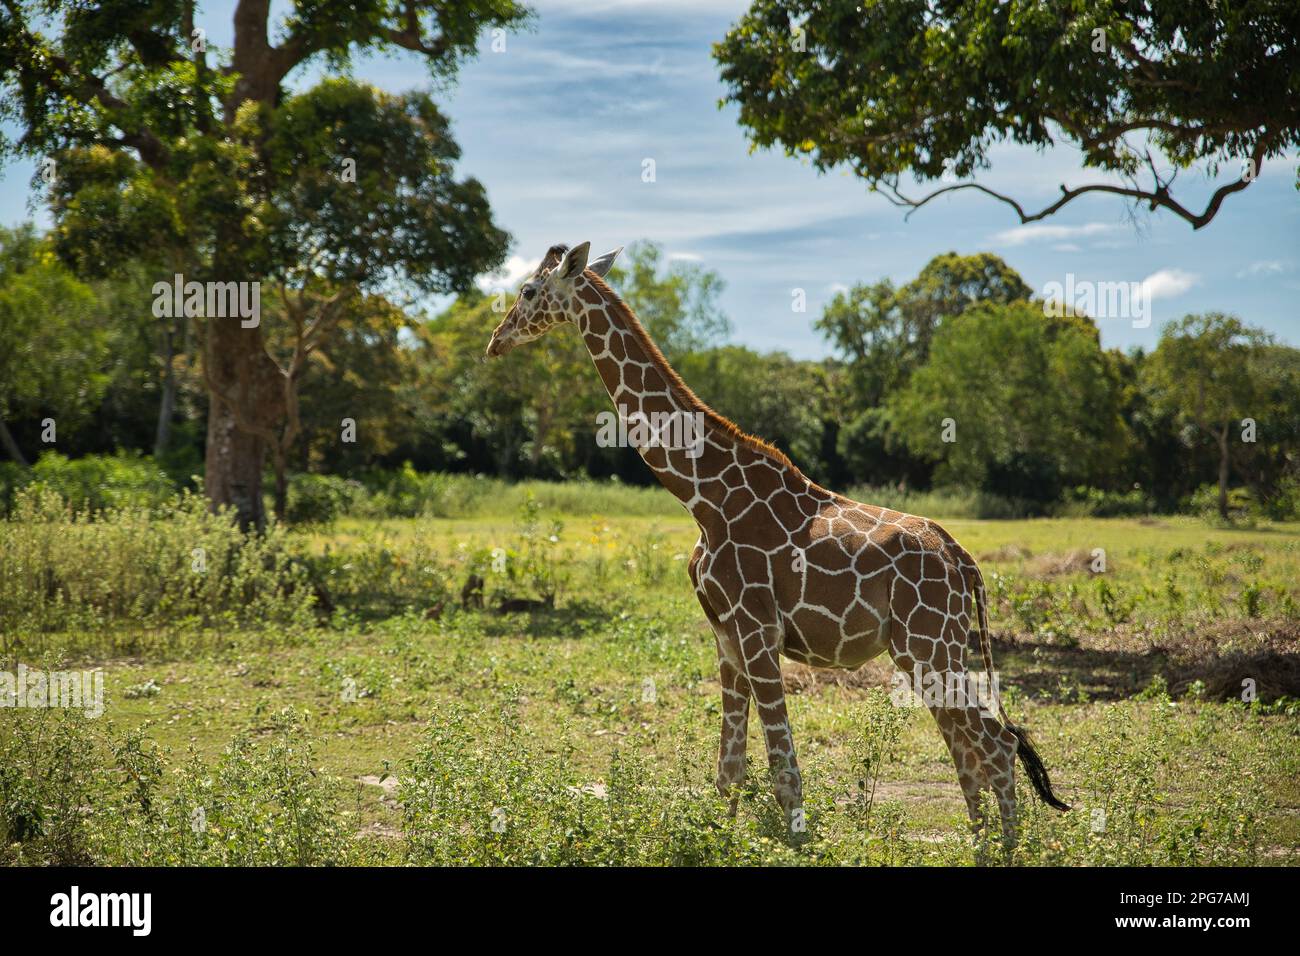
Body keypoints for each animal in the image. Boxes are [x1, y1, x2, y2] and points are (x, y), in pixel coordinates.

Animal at [485, 241, 1070, 844]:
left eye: (528, 291)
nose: (495, 341)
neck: (702, 496)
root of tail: (964, 559)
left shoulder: (757, 626)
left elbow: (783, 769)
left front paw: (797, 839)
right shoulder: (724, 633)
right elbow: (729, 772)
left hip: (930, 643)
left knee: (996, 744)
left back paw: (1004, 846)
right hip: (926, 648)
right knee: (966, 746)